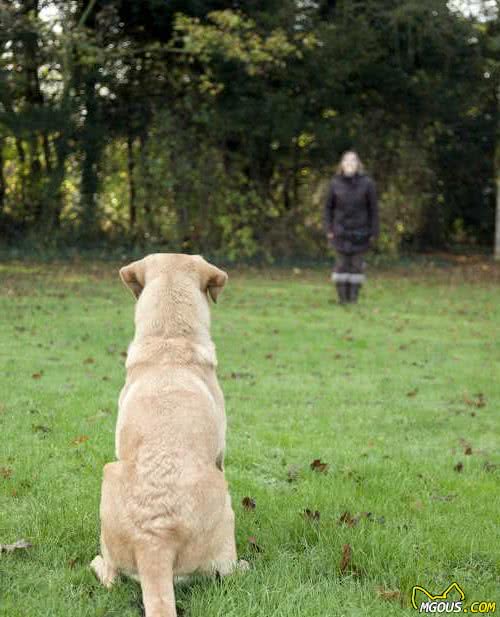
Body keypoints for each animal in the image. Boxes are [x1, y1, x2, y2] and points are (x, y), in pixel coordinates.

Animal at [91, 254, 247, 616]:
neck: (169, 340)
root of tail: (155, 540)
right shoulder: (221, 454)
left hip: (110, 472)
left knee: (113, 576)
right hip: (223, 498)